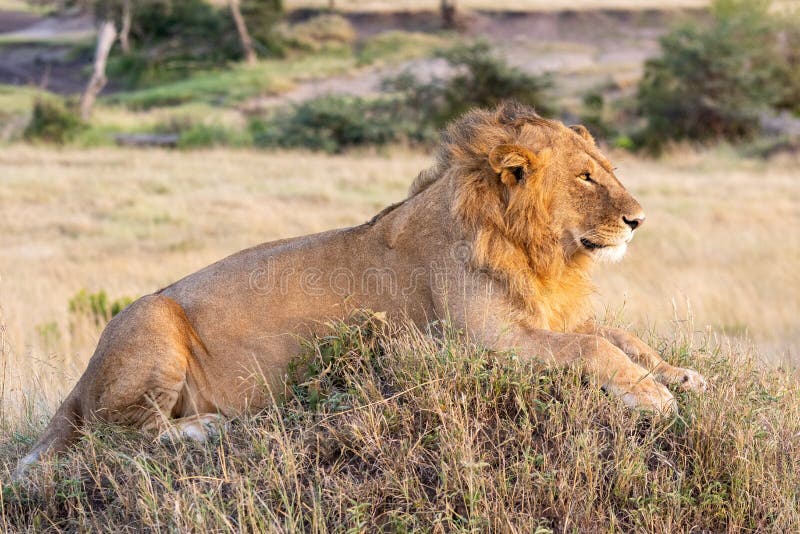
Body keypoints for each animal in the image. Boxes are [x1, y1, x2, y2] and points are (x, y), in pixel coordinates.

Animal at [16, 101, 706, 478]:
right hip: (151, 321)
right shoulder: (480, 342)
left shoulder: (545, 316)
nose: (639, 219)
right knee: (114, 438)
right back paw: (202, 429)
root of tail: (82, 377)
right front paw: (654, 397)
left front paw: (681, 374)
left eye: (609, 171)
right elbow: (593, 348)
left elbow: (619, 335)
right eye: (587, 178)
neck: (536, 252)